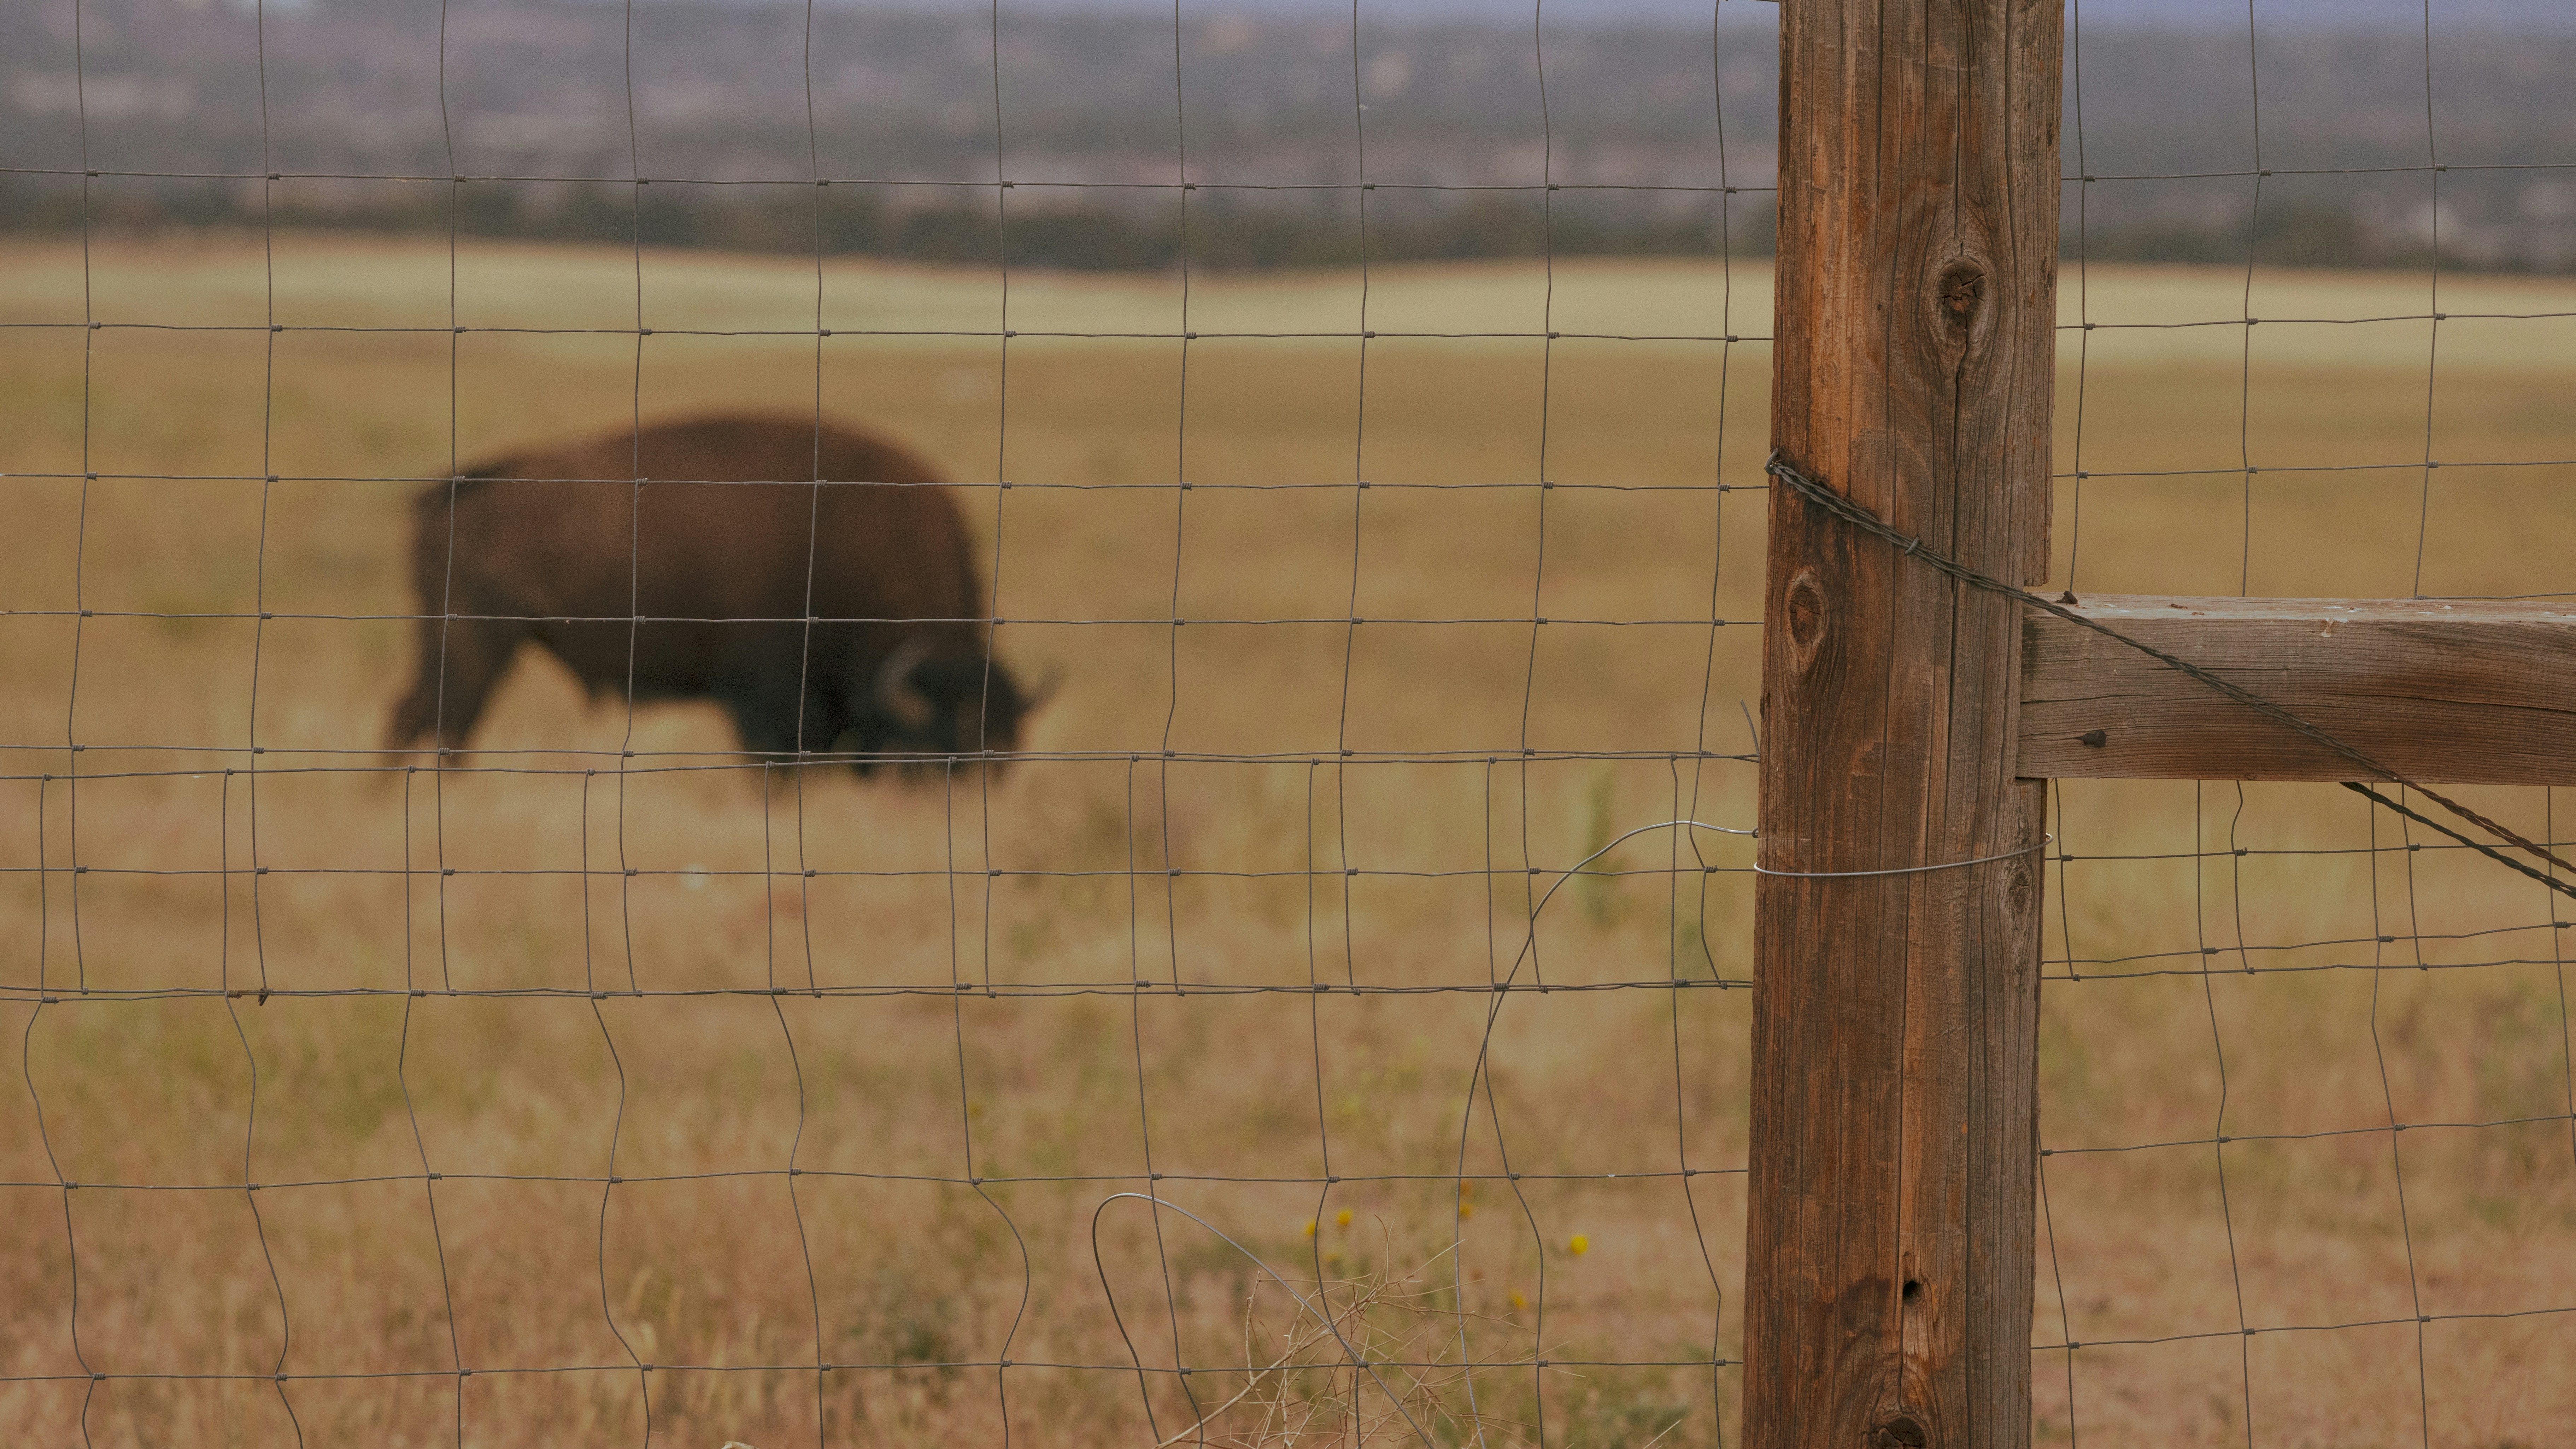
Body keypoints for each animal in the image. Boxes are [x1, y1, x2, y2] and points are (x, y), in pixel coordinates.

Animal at [386, 413, 1032, 772]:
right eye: (935, 744)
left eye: (1007, 754)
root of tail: (451, 492)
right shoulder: (768, 699)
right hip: (477, 642)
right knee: (446, 723)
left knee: (418, 715)